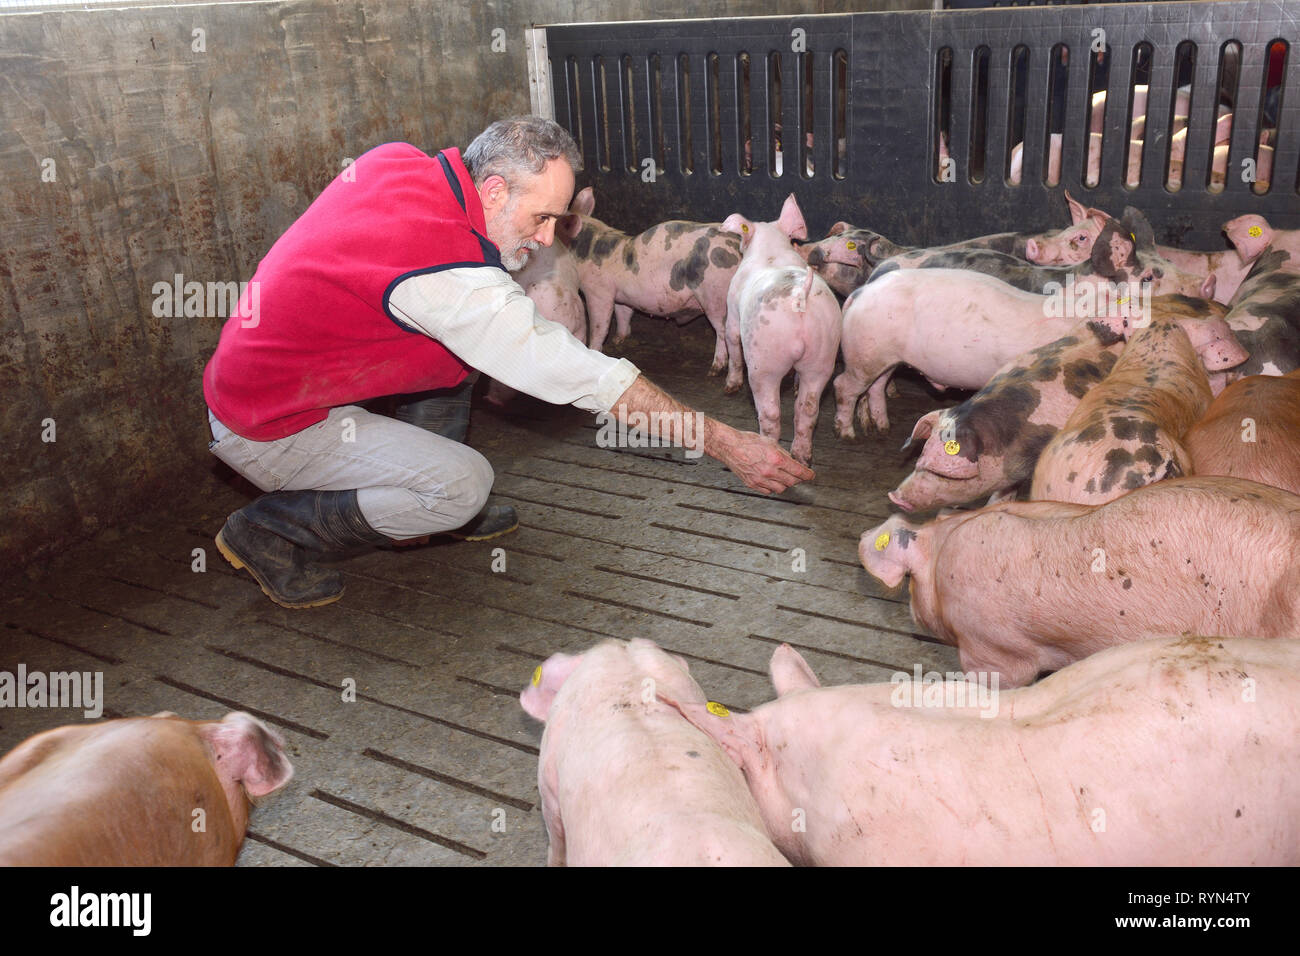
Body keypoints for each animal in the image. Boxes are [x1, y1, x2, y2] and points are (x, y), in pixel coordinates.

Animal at [558, 187, 742, 374]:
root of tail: (738, 247)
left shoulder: (598, 292)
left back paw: (715, 369)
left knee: (722, 330)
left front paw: (594, 348)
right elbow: (623, 314)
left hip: (714, 296)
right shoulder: (621, 295)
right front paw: (619, 339)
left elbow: (599, 325)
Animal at [721, 195, 842, 465]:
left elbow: (731, 339)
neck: (771, 252)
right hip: (824, 351)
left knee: (770, 411)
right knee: (808, 407)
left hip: (763, 356)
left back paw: (770, 447)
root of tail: (799, 295)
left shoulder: (732, 310)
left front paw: (729, 387)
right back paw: (802, 457)